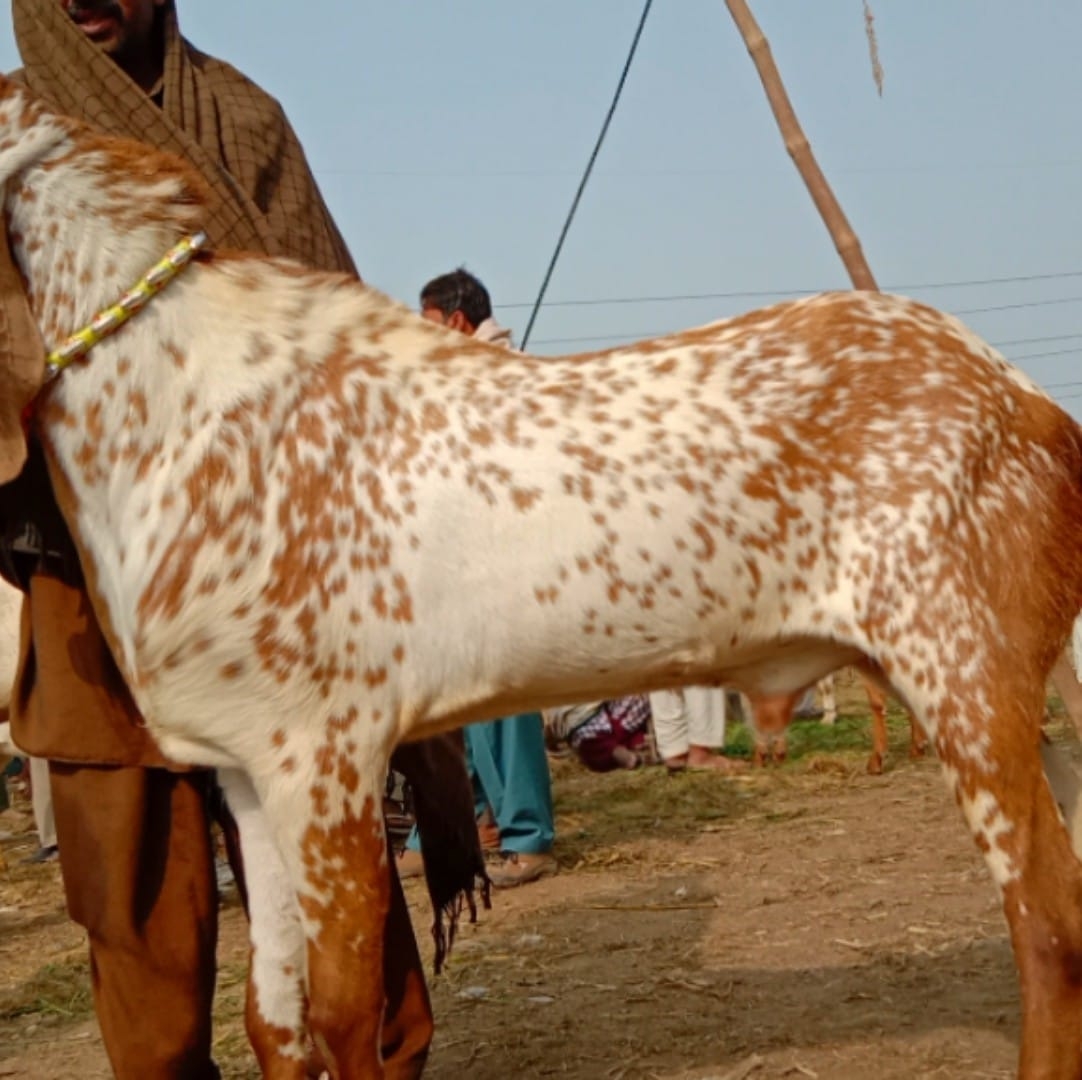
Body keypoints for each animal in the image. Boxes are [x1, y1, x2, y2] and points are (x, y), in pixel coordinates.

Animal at [1, 78, 1081, 1079]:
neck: (178, 409)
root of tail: (1025, 398)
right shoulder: (244, 769)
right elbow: (276, 1021)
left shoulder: (327, 756)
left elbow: (349, 1017)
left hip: (967, 680)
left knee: (1048, 926)